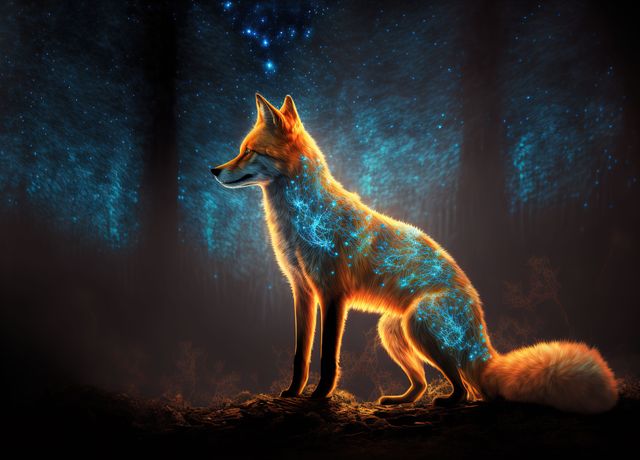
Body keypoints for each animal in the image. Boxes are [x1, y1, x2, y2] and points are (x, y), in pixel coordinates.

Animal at [211, 93, 618, 413]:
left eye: (249, 151)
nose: (214, 169)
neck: (299, 219)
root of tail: (479, 320)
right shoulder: (301, 291)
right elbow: (300, 355)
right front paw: (293, 394)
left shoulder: (332, 295)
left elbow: (327, 358)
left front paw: (319, 397)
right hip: (392, 330)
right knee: (427, 383)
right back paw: (398, 401)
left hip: (419, 325)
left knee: (466, 389)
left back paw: (447, 401)